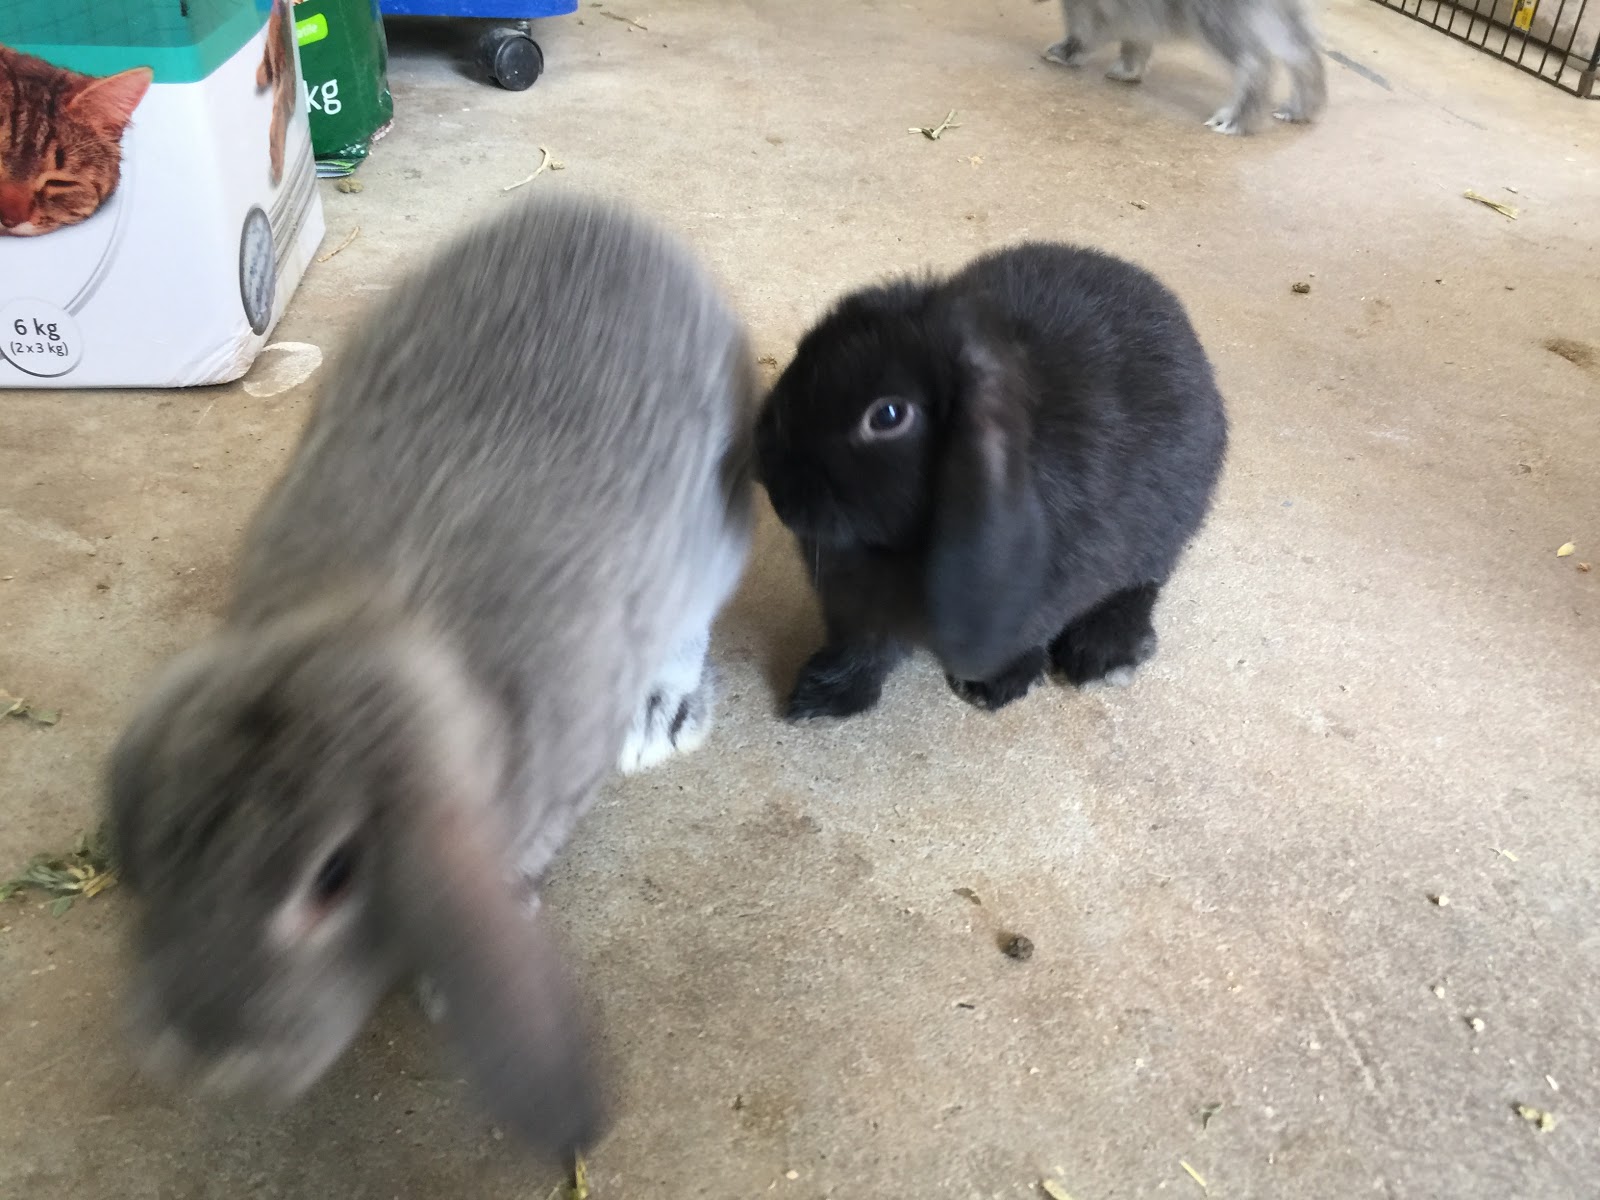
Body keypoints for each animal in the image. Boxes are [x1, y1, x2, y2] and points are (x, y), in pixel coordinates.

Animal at [106, 192, 756, 1157]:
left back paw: (664, 717)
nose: (199, 1053)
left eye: (335, 877)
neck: (374, 628)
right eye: (170, 837)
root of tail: (602, 213)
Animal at [755, 242, 1227, 720]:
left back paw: (1106, 652)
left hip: (1168, 527)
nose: (770, 478)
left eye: (887, 415)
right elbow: (862, 645)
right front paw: (822, 695)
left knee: (1142, 583)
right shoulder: (854, 604)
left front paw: (993, 685)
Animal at [1044, 0, 1327, 135]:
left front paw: (1062, 53)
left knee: (1255, 64)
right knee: (1302, 53)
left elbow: (1085, 29)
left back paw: (1233, 121)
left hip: (1217, 17)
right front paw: (1126, 72)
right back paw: (1296, 110)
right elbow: (1136, 40)